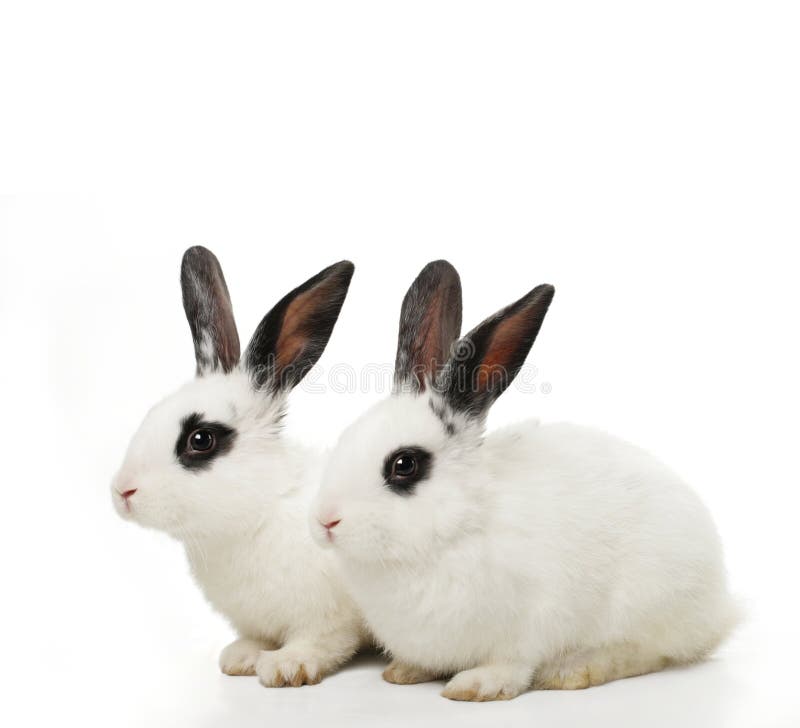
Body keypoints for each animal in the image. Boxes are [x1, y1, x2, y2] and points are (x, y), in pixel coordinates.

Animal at [111, 246, 367, 687]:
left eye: (201, 440)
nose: (122, 490)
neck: (261, 510)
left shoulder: (328, 618)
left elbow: (323, 641)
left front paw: (286, 666)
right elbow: (257, 637)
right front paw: (239, 658)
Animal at [310, 260, 738, 702]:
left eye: (404, 464)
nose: (324, 521)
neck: (458, 526)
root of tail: (720, 604)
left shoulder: (530, 622)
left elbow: (511, 664)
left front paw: (476, 686)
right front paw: (404, 671)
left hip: (647, 603)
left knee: (647, 652)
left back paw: (574, 671)